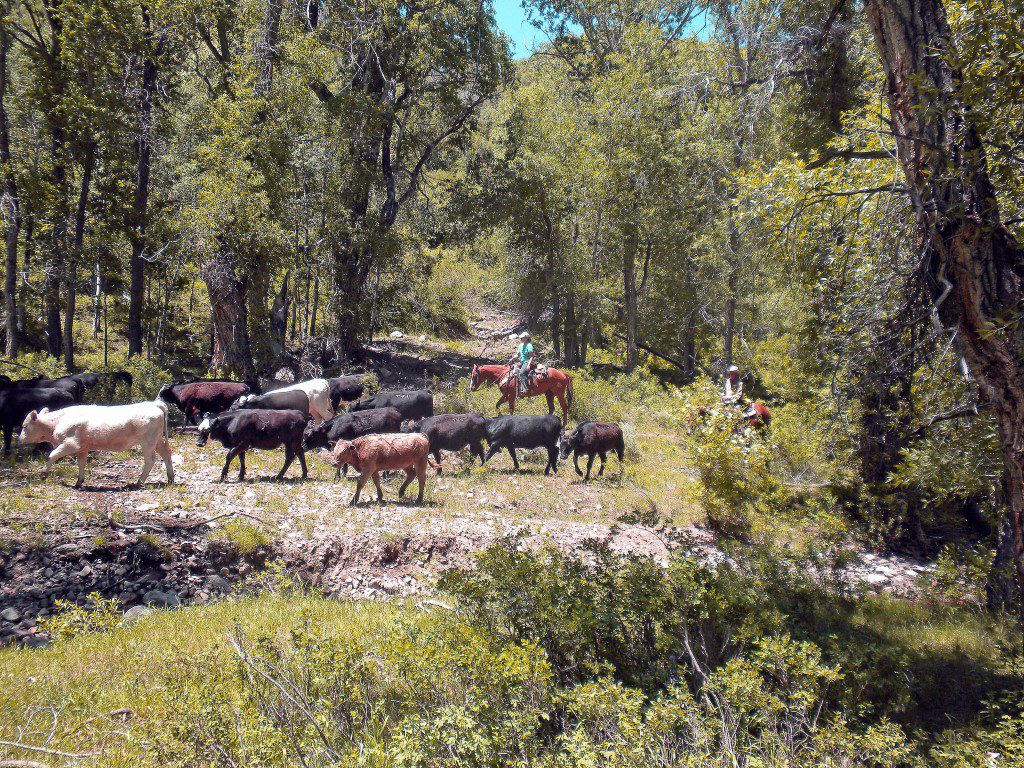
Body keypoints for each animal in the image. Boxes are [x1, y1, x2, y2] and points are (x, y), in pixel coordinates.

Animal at [18, 401, 174, 488]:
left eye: (25, 426)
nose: (19, 439)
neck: (57, 422)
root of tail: (154, 404)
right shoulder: (82, 448)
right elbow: (81, 464)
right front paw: (79, 481)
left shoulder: (71, 444)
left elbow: (52, 455)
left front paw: (44, 474)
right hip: (156, 440)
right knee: (166, 454)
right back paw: (170, 477)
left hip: (147, 441)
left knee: (150, 460)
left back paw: (139, 482)